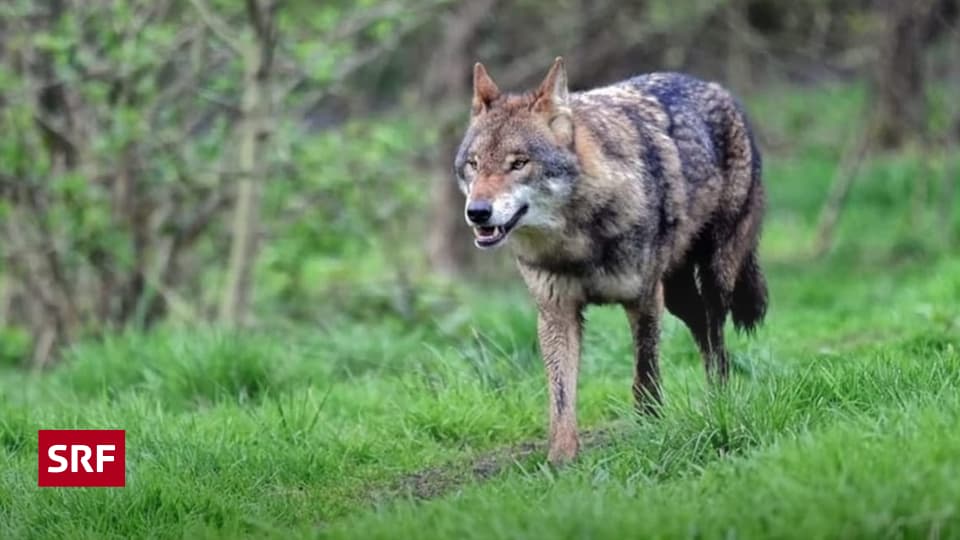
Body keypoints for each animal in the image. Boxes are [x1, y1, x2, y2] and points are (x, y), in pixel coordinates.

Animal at [454, 57, 768, 464]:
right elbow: (561, 394)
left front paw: (650, 428)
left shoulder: (644, 299)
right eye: (474, 164)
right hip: (678, 296)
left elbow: (645, 374)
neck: (577, 239)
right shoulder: (556, 311)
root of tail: (718, 89)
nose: (477, 212)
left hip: (714, 275)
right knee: (703, 327)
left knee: (715, 336)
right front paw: (561, 459)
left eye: (519, 163)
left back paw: (719, 401)